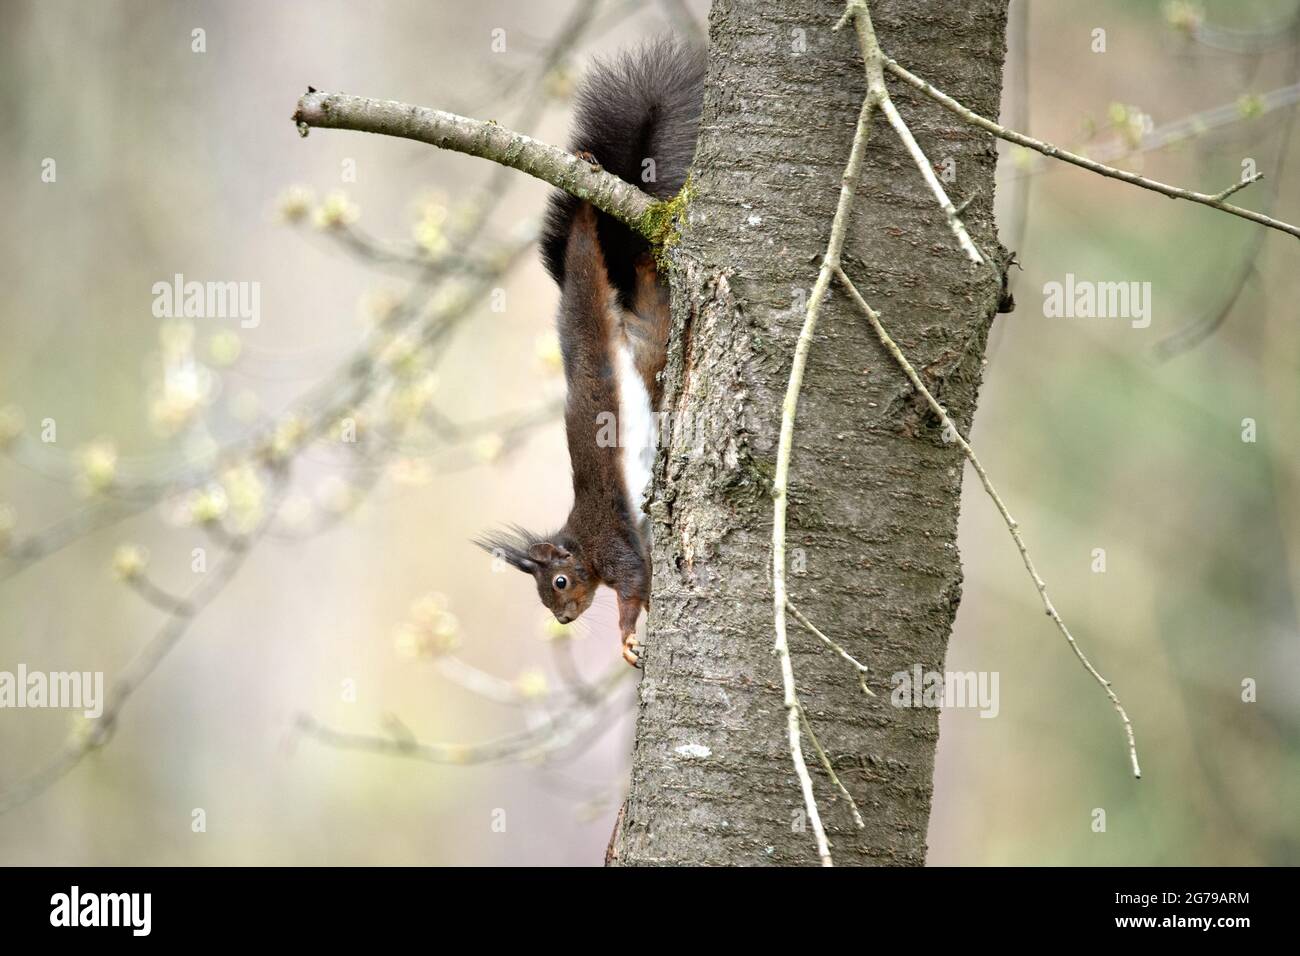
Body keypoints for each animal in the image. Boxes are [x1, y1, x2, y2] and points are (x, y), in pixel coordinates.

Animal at [477, 39, 705, 667]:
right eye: (541, 594)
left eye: (557, 582)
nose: (561, 619)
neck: (580, 541)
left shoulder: (616, 544)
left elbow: (634, 586)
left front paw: (627, 638)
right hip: (649, 341)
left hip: (614, 317)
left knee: (586, 245)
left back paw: (585, 189)